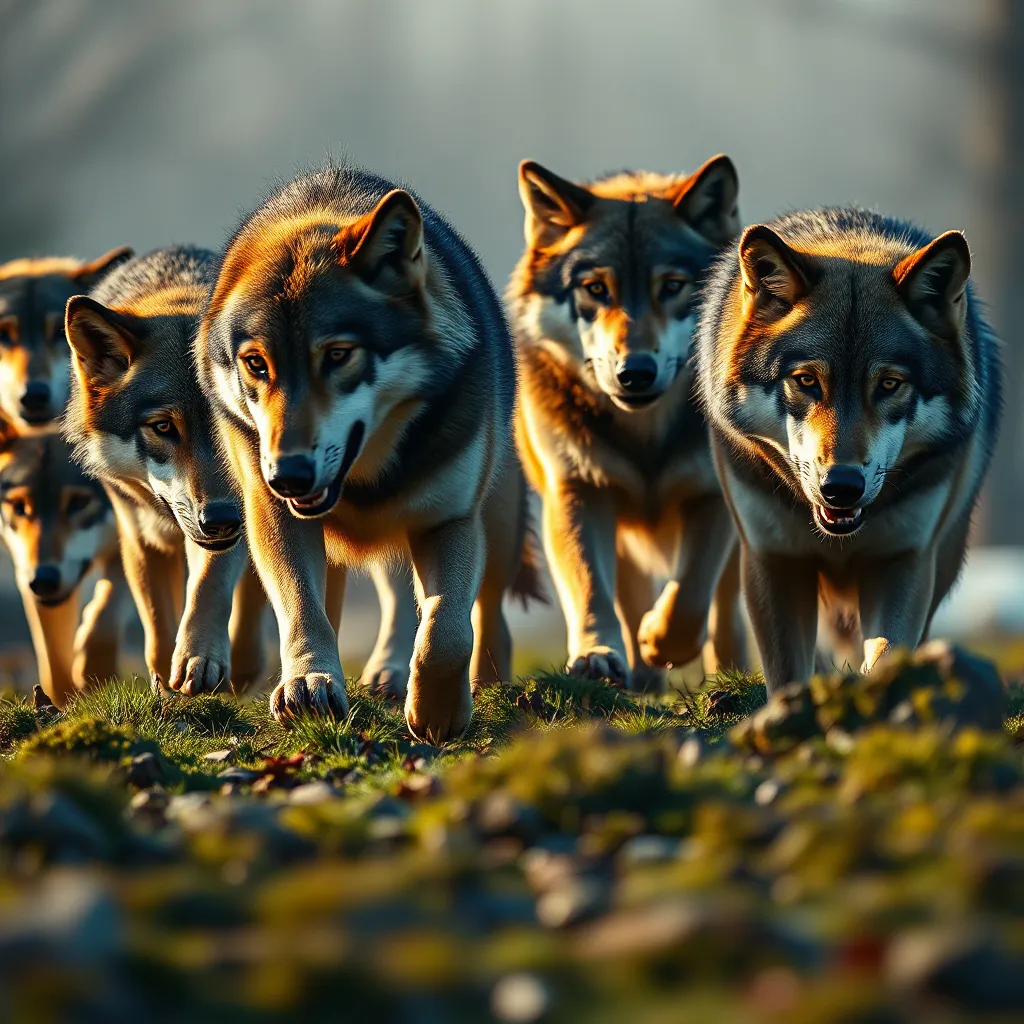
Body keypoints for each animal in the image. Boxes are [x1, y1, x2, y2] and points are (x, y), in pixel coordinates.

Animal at [0, 414, 127, 705]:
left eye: (78, 502)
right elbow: (54, 659)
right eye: (19, 506)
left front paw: (97, 675)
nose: (43, 580)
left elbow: (107, 609)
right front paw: (64, 703)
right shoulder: (28, 577)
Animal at [63, 246, 269, 696]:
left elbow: (210, 586)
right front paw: (165, 679)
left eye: (230, 422)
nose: (222, 518)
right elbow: (157, 623)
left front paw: (200, 659)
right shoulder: (141, 536)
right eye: (162, 427)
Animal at [198, 162, 540, 742]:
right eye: (256, 364)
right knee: (380, 597)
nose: (288, 475)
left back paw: (485, 679)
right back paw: (378, 674)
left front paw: (438, 711)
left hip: (494, 523)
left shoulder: (447, 520)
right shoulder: (274, 515)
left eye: (338, 355)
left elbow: (447, 627)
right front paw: (310, 684)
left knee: (484, 610)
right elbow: (303, 607)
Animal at [509, 154, 747, 691]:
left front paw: (661, 641)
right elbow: (591, 587)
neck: (646, 440)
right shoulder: (577, 490)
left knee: (726, 606)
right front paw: (598, 655)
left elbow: (691, 595)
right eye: (596, 288)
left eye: (672, 287)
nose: (633, 372)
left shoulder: (713, 496)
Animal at [696, 207, 1002, 694]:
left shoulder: (905, 560)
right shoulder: (773, 561)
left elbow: (888, 653)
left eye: (889, 385)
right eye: (806, 381)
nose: (840, 486)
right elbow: (787, 673)